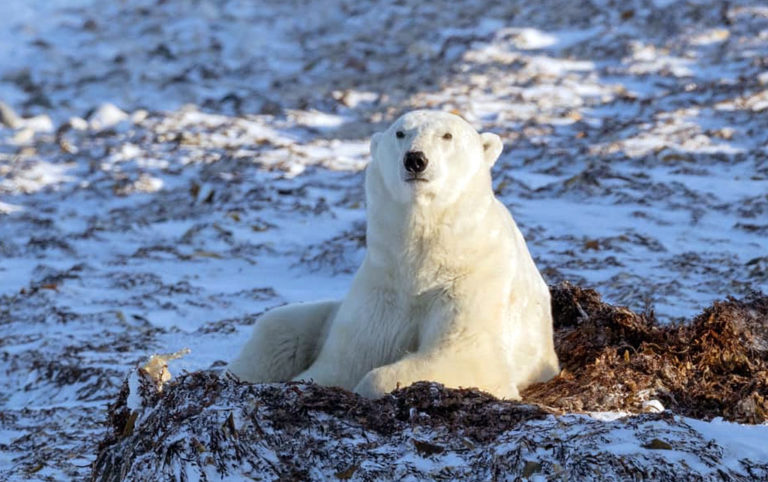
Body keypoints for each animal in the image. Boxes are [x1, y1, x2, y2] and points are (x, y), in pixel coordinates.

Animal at [228, 110, 559, 399]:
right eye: (400, 133)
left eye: (447, 135)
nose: (415, 159)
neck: (423, 260)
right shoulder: (383, 285)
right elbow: (346, 358)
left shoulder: (471, 280)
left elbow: (463, 352)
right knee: (276, 325)